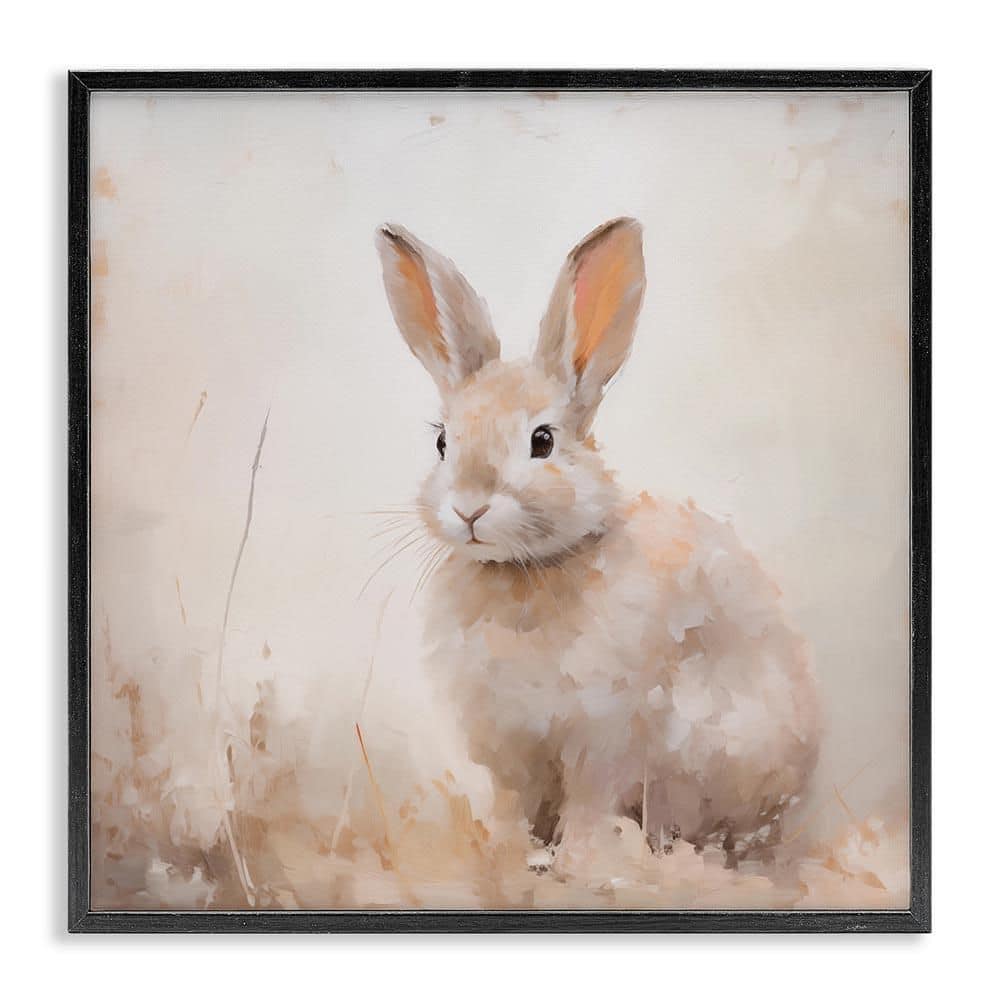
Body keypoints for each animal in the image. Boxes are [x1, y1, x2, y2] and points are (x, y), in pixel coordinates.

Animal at [375, 217, 819, 865]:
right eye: (442, 442)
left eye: (542, 441)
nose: (468, 508)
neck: (525, 570)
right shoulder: (509, 747)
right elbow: (513, 805)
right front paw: (506, 852)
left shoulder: (604, 733)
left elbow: (590, 798)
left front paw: (584, 859)